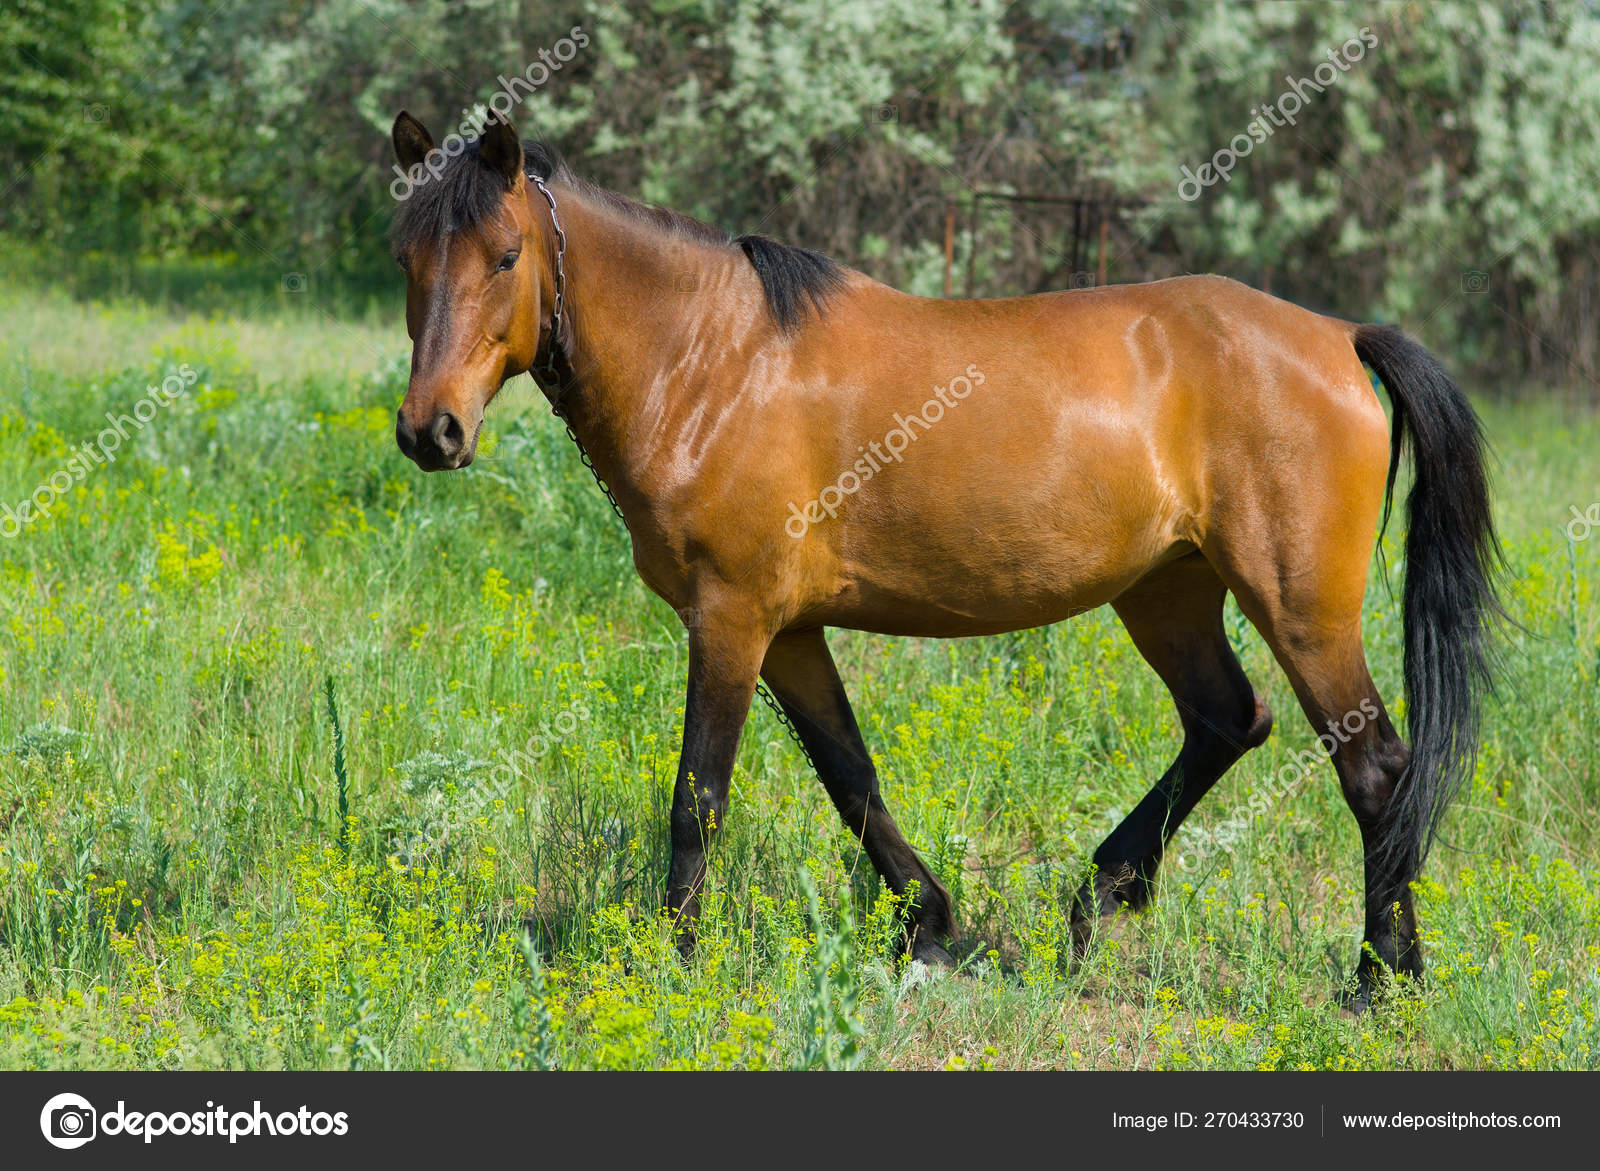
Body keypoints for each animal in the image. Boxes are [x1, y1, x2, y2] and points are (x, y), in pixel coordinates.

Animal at [387, 111, 1502, 1007]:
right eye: (408, 260)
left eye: (503, 256)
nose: (430, 432)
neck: (713, 363)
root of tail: (1337, 336)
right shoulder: (791, 629)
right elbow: (850, 772)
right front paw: (927, 921)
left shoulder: (733, 618)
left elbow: (697, 797)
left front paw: (674, 958)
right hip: (1166, 592)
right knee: (1229, 720)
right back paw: (1101, 898)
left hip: (1301, 607)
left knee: (1373, 767)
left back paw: (1379, 977)